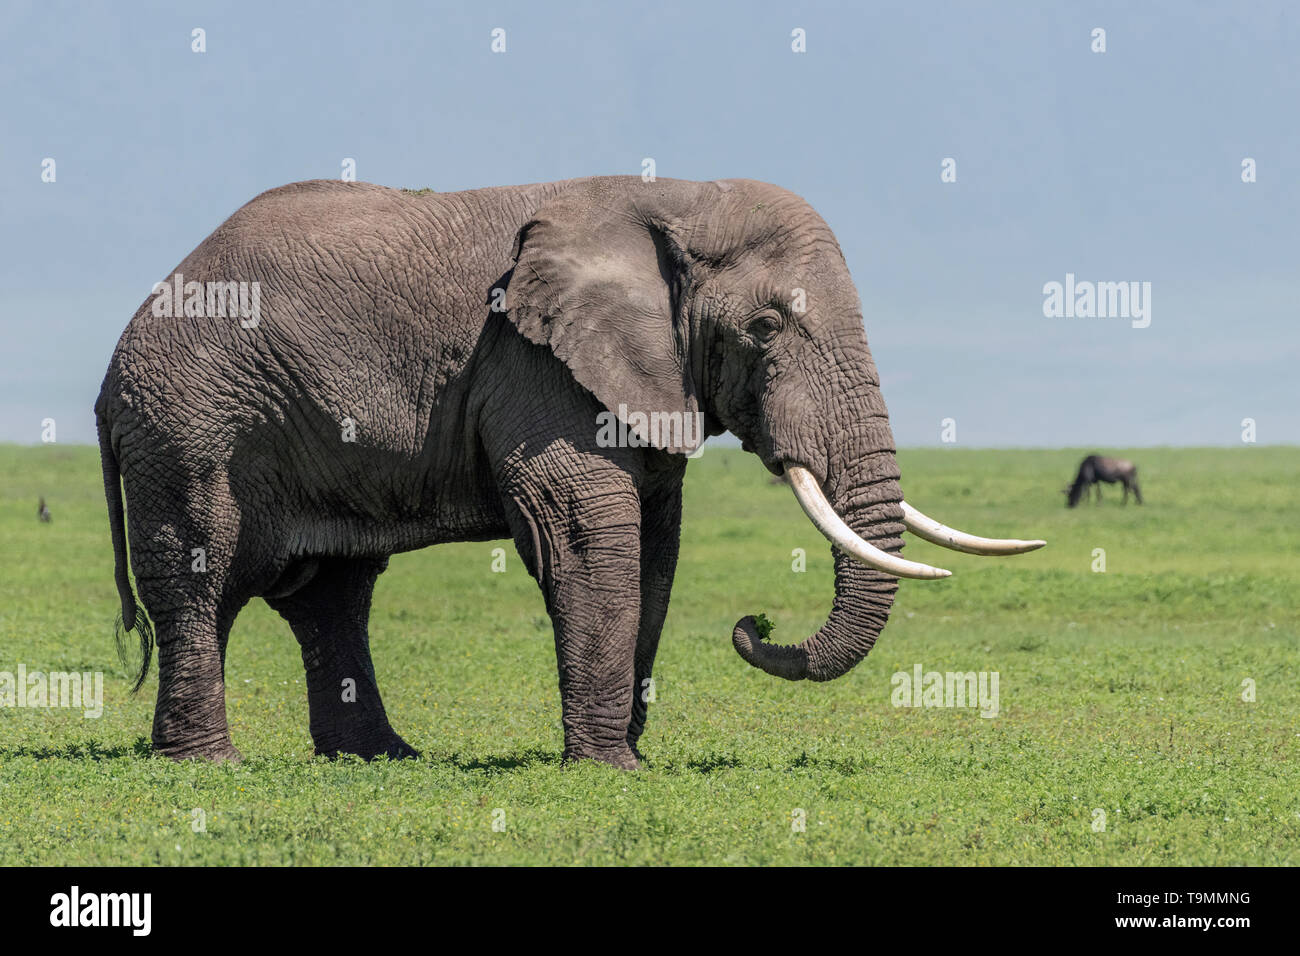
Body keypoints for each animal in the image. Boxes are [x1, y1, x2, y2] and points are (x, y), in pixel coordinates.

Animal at [96, 176, 1045, 769]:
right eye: (767, 328)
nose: (753, 624)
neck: (675, 199)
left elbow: (657, 551)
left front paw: (626, 751)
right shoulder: (531, 362)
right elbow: (587, 535)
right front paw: (610, 767)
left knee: (330, 591)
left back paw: (381, 759)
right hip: (188, 422)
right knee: (201, 574)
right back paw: (208, 762)